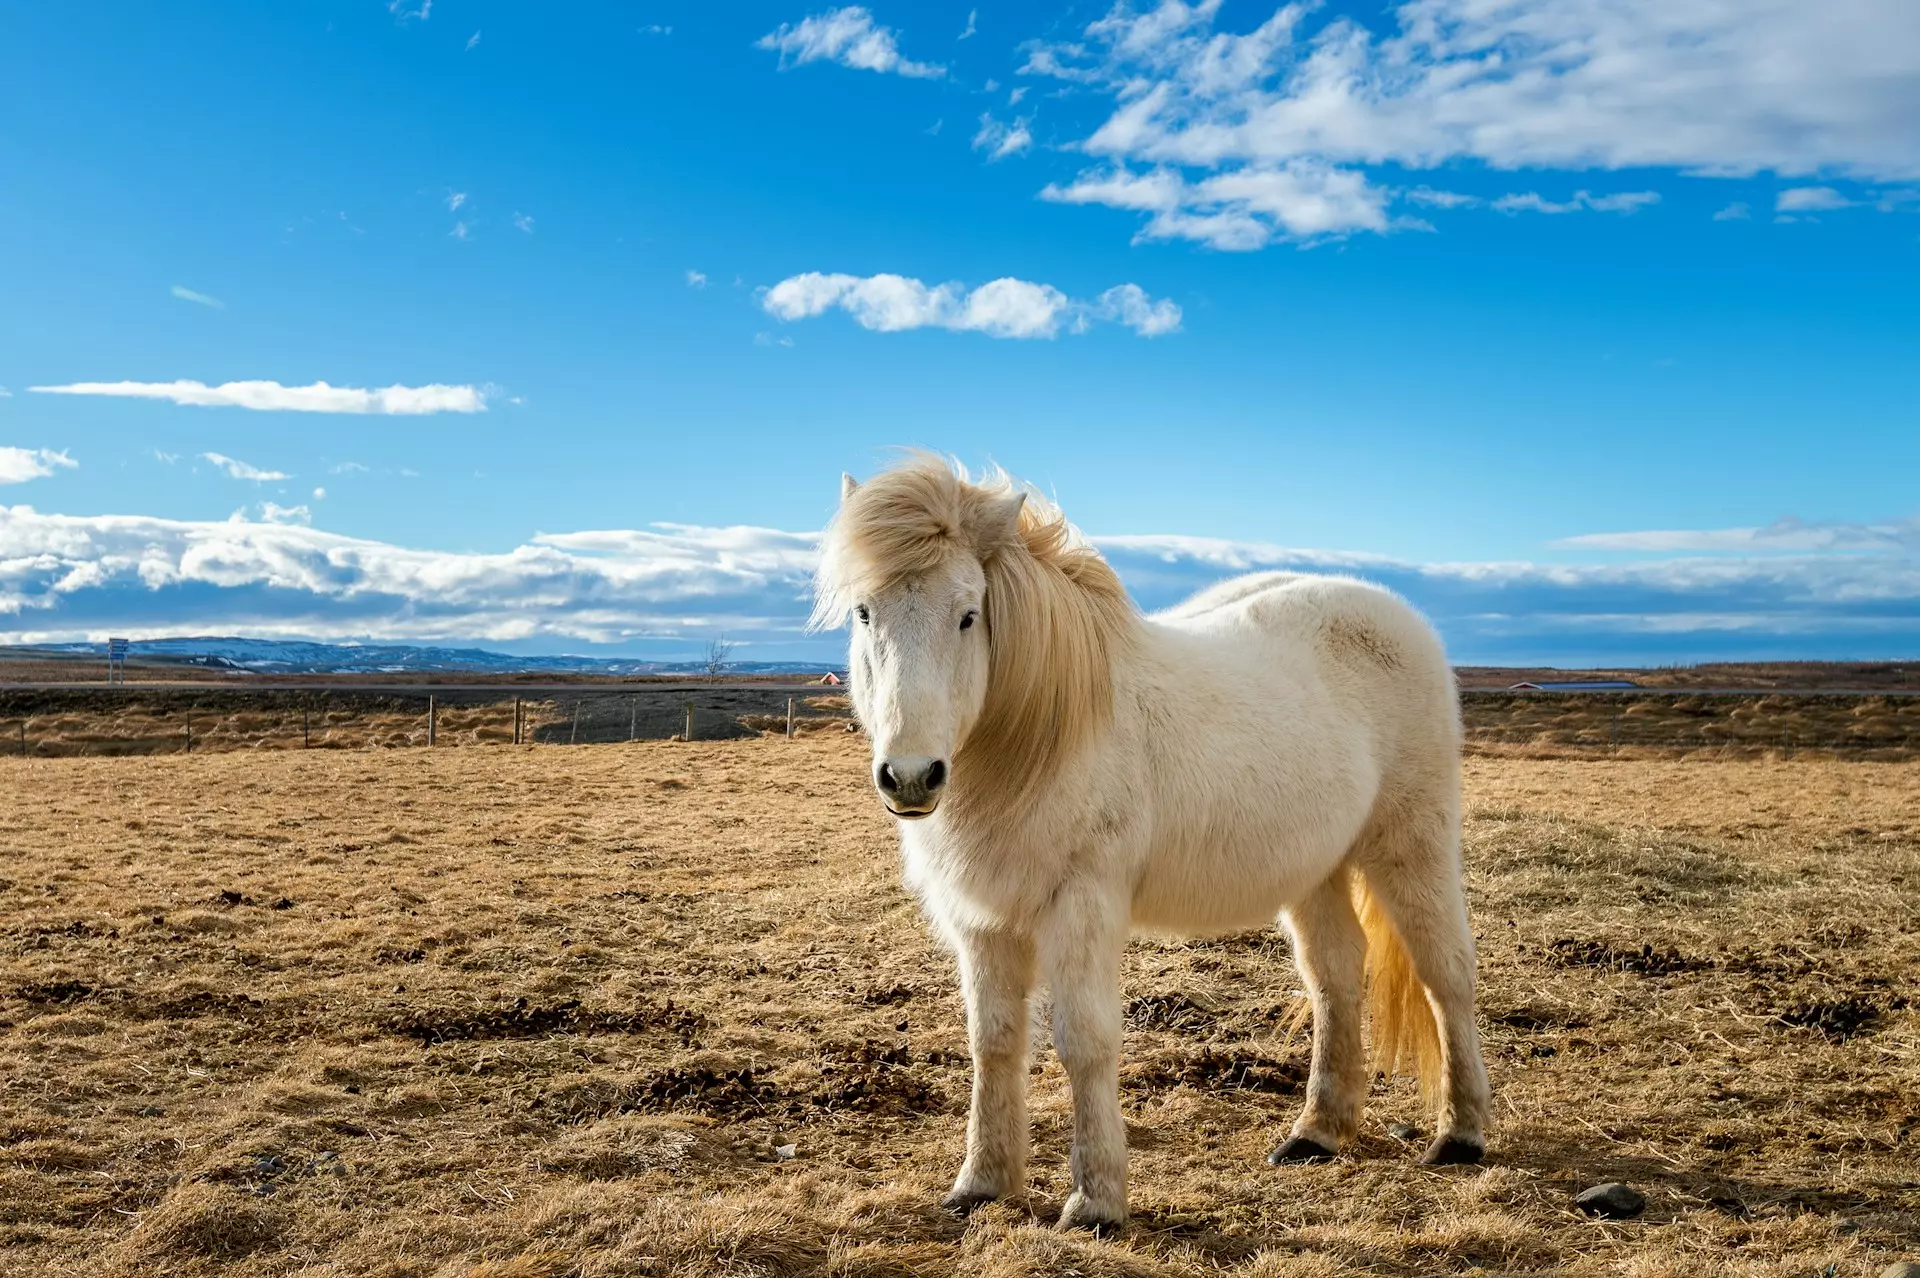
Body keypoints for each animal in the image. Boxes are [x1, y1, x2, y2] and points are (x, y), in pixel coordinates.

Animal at [813, 456, 1490, 1231]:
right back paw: (1317, 1134)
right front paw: (982, 1183)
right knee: (1335, 977)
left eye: (968, 614)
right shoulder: (982, 921)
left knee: (1446, 974)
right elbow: (994, 1041)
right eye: (865, 612)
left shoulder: (1082, 904)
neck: (1044, 734)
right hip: (1315, 869)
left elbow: (1084, 1040)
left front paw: (1097, 1201)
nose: (910, 776)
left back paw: (1462, 1134)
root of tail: (1399, 617)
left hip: (1412, 845)